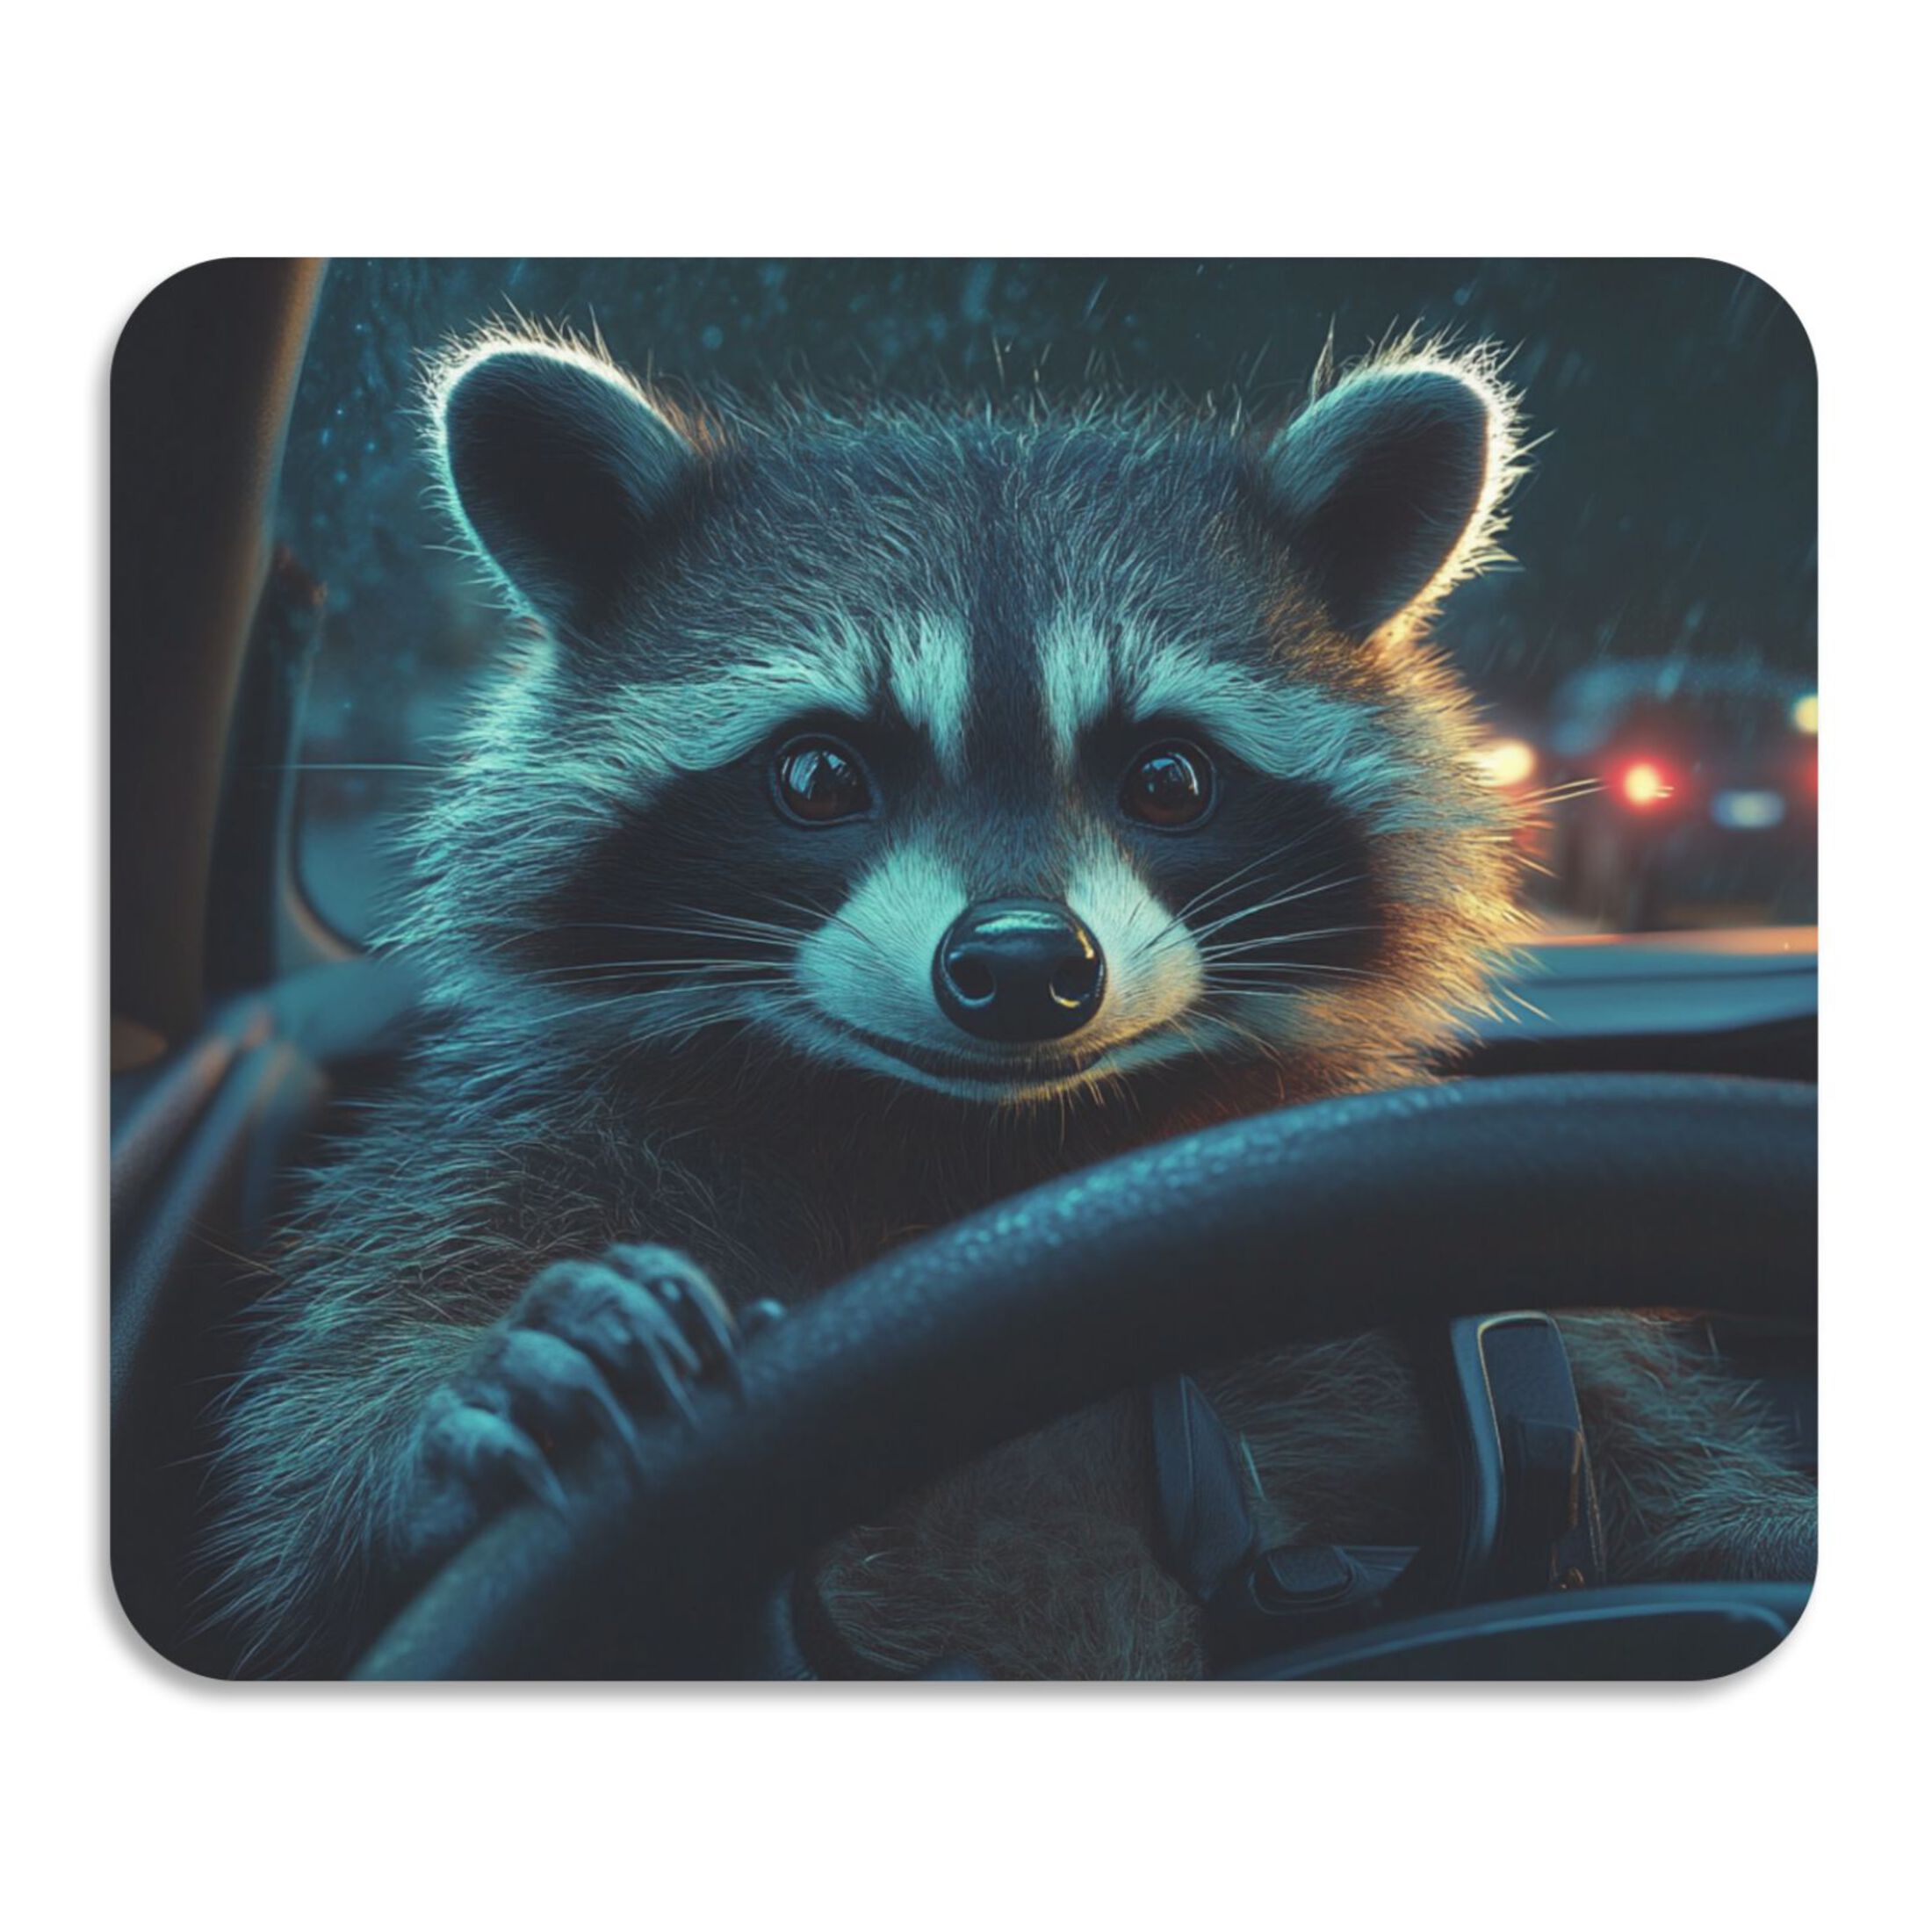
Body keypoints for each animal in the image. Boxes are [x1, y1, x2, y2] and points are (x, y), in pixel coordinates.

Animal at [209, 328, 1815, 1676]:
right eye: (818, 774)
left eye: (1168, 778)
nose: (1027, 968)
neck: (978, 1143)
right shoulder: (511, 1156)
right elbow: (306, 1526)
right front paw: (446, 1434)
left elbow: (1694, 1485)